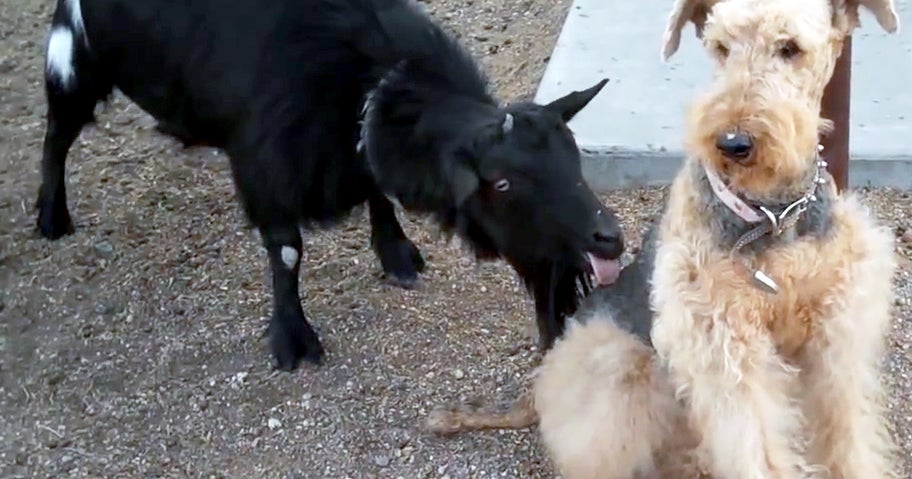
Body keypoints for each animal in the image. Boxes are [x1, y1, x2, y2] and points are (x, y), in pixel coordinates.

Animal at [35, 0, 625, 371]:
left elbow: (376, 190)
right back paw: (51, 217)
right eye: (501, 183)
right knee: (57, 134)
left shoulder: (354, 146)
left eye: (575, 157)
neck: (366, 79)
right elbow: (288, 253)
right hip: (73, 58)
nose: (608, 238)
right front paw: (293, 340)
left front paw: (397, 254)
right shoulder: (264, 170)